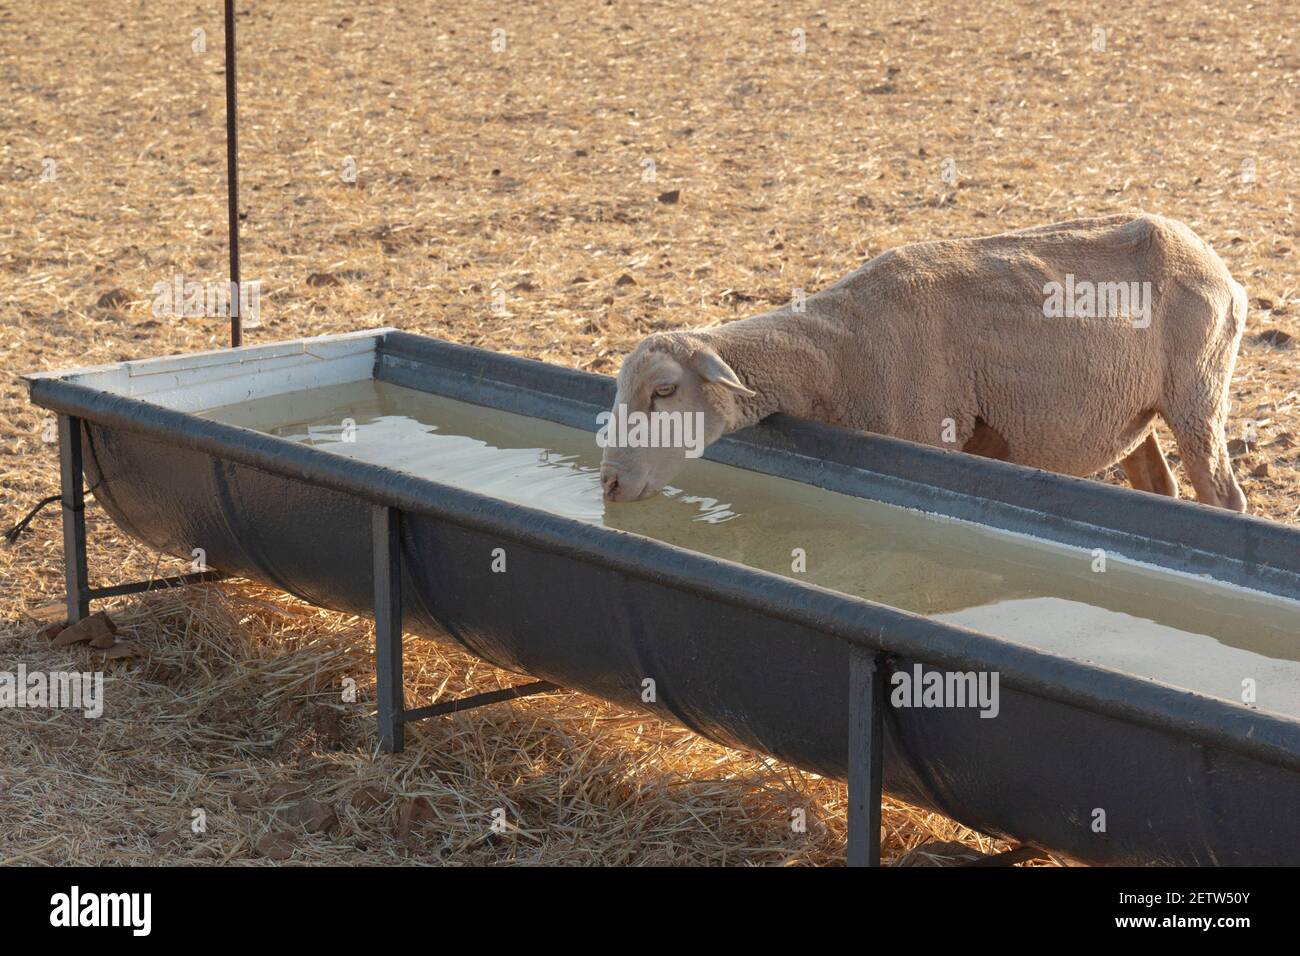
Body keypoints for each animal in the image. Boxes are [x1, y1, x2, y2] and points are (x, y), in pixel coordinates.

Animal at [599, 213, 1249, 512]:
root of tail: (1211, 257)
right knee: (1158, 483)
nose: (608, 483)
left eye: (663, 391)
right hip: (1134, 407)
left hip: (1198, 394)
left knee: (1223, 497)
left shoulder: (927, 436)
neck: (839, 351)